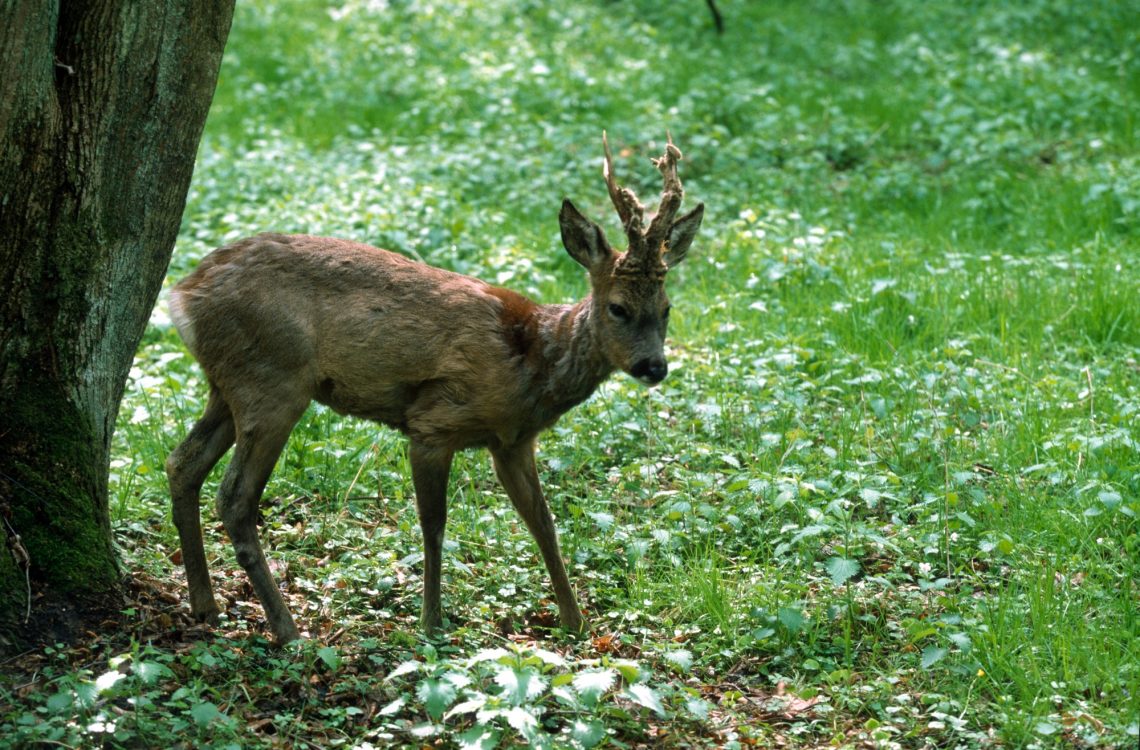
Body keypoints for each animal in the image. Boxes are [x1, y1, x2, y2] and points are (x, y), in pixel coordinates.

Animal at [164, 134, 704, 643]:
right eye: (618, 308)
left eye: (667, 308)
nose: (654, 366)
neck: (534, 361)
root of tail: (182, 295)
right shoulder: (435, 421)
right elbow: (435, 525)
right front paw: (432, 621)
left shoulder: (512, 441)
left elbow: (543, 523)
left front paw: (574, 622)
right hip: (272, 381)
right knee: (235, 498)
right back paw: (287, 629)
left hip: (230, 384)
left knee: (182, 463)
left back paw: (206, 605)